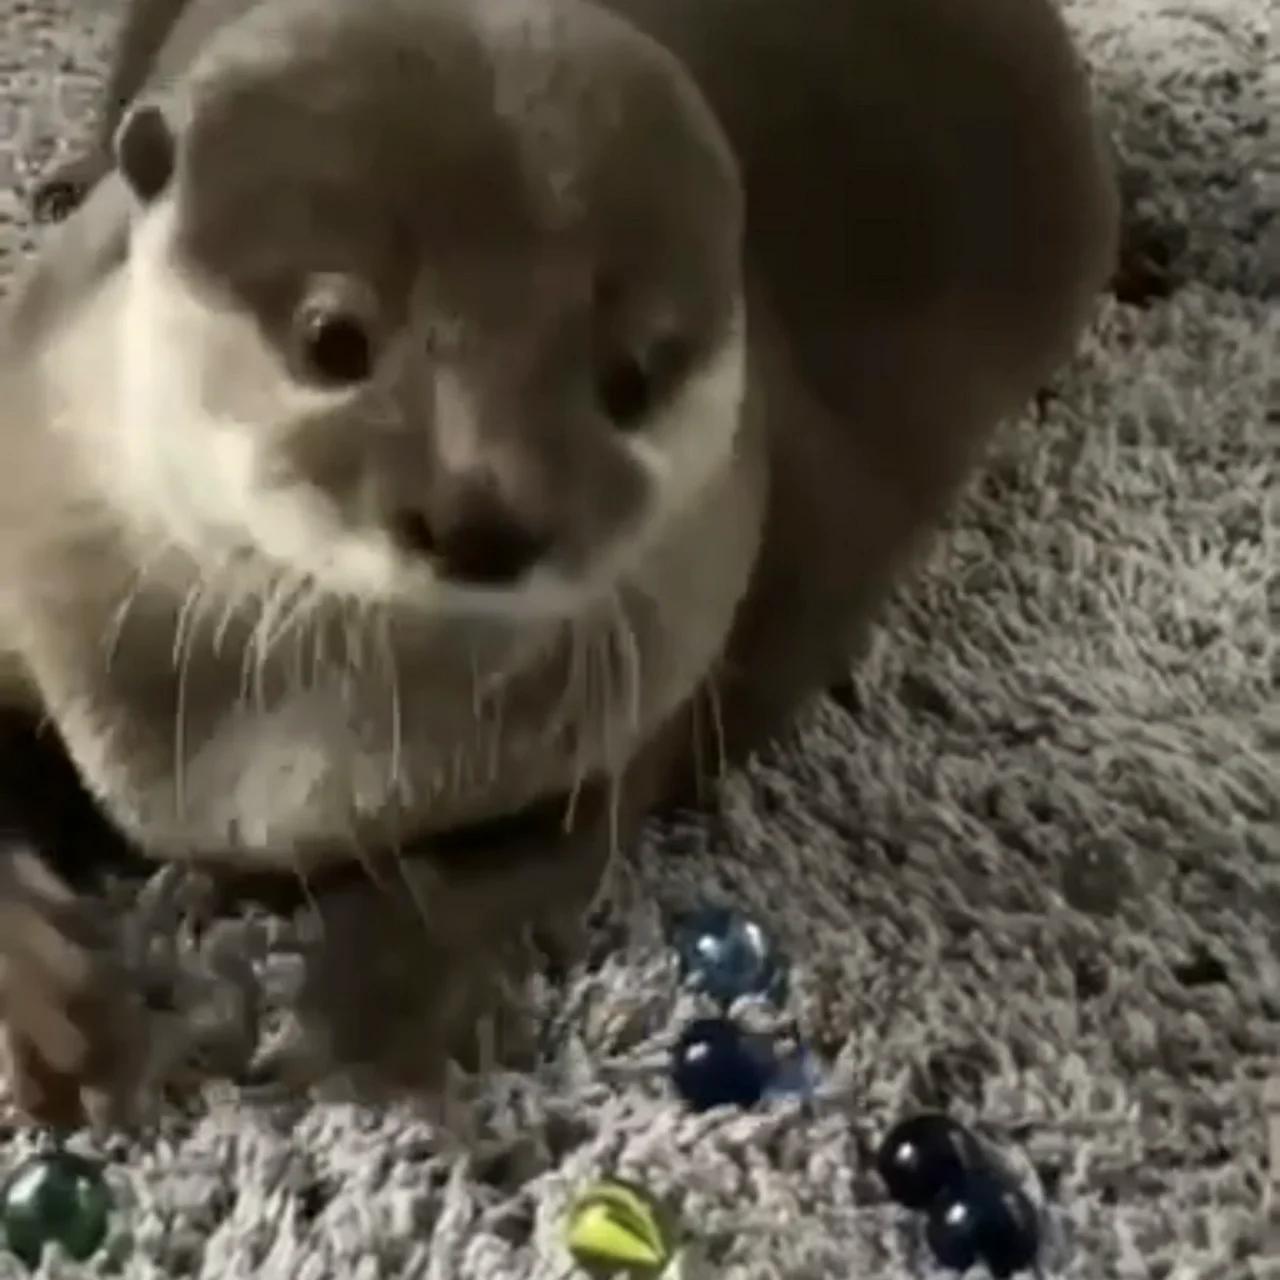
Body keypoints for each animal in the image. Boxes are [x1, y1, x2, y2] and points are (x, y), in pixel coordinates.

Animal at [0, 0, 1118, 1122]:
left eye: (629, 376)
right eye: (332, 335)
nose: (484, 512)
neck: (257, 760)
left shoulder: (640, 704)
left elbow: (516, 865)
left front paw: (365, 1006)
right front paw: (54, 1005)